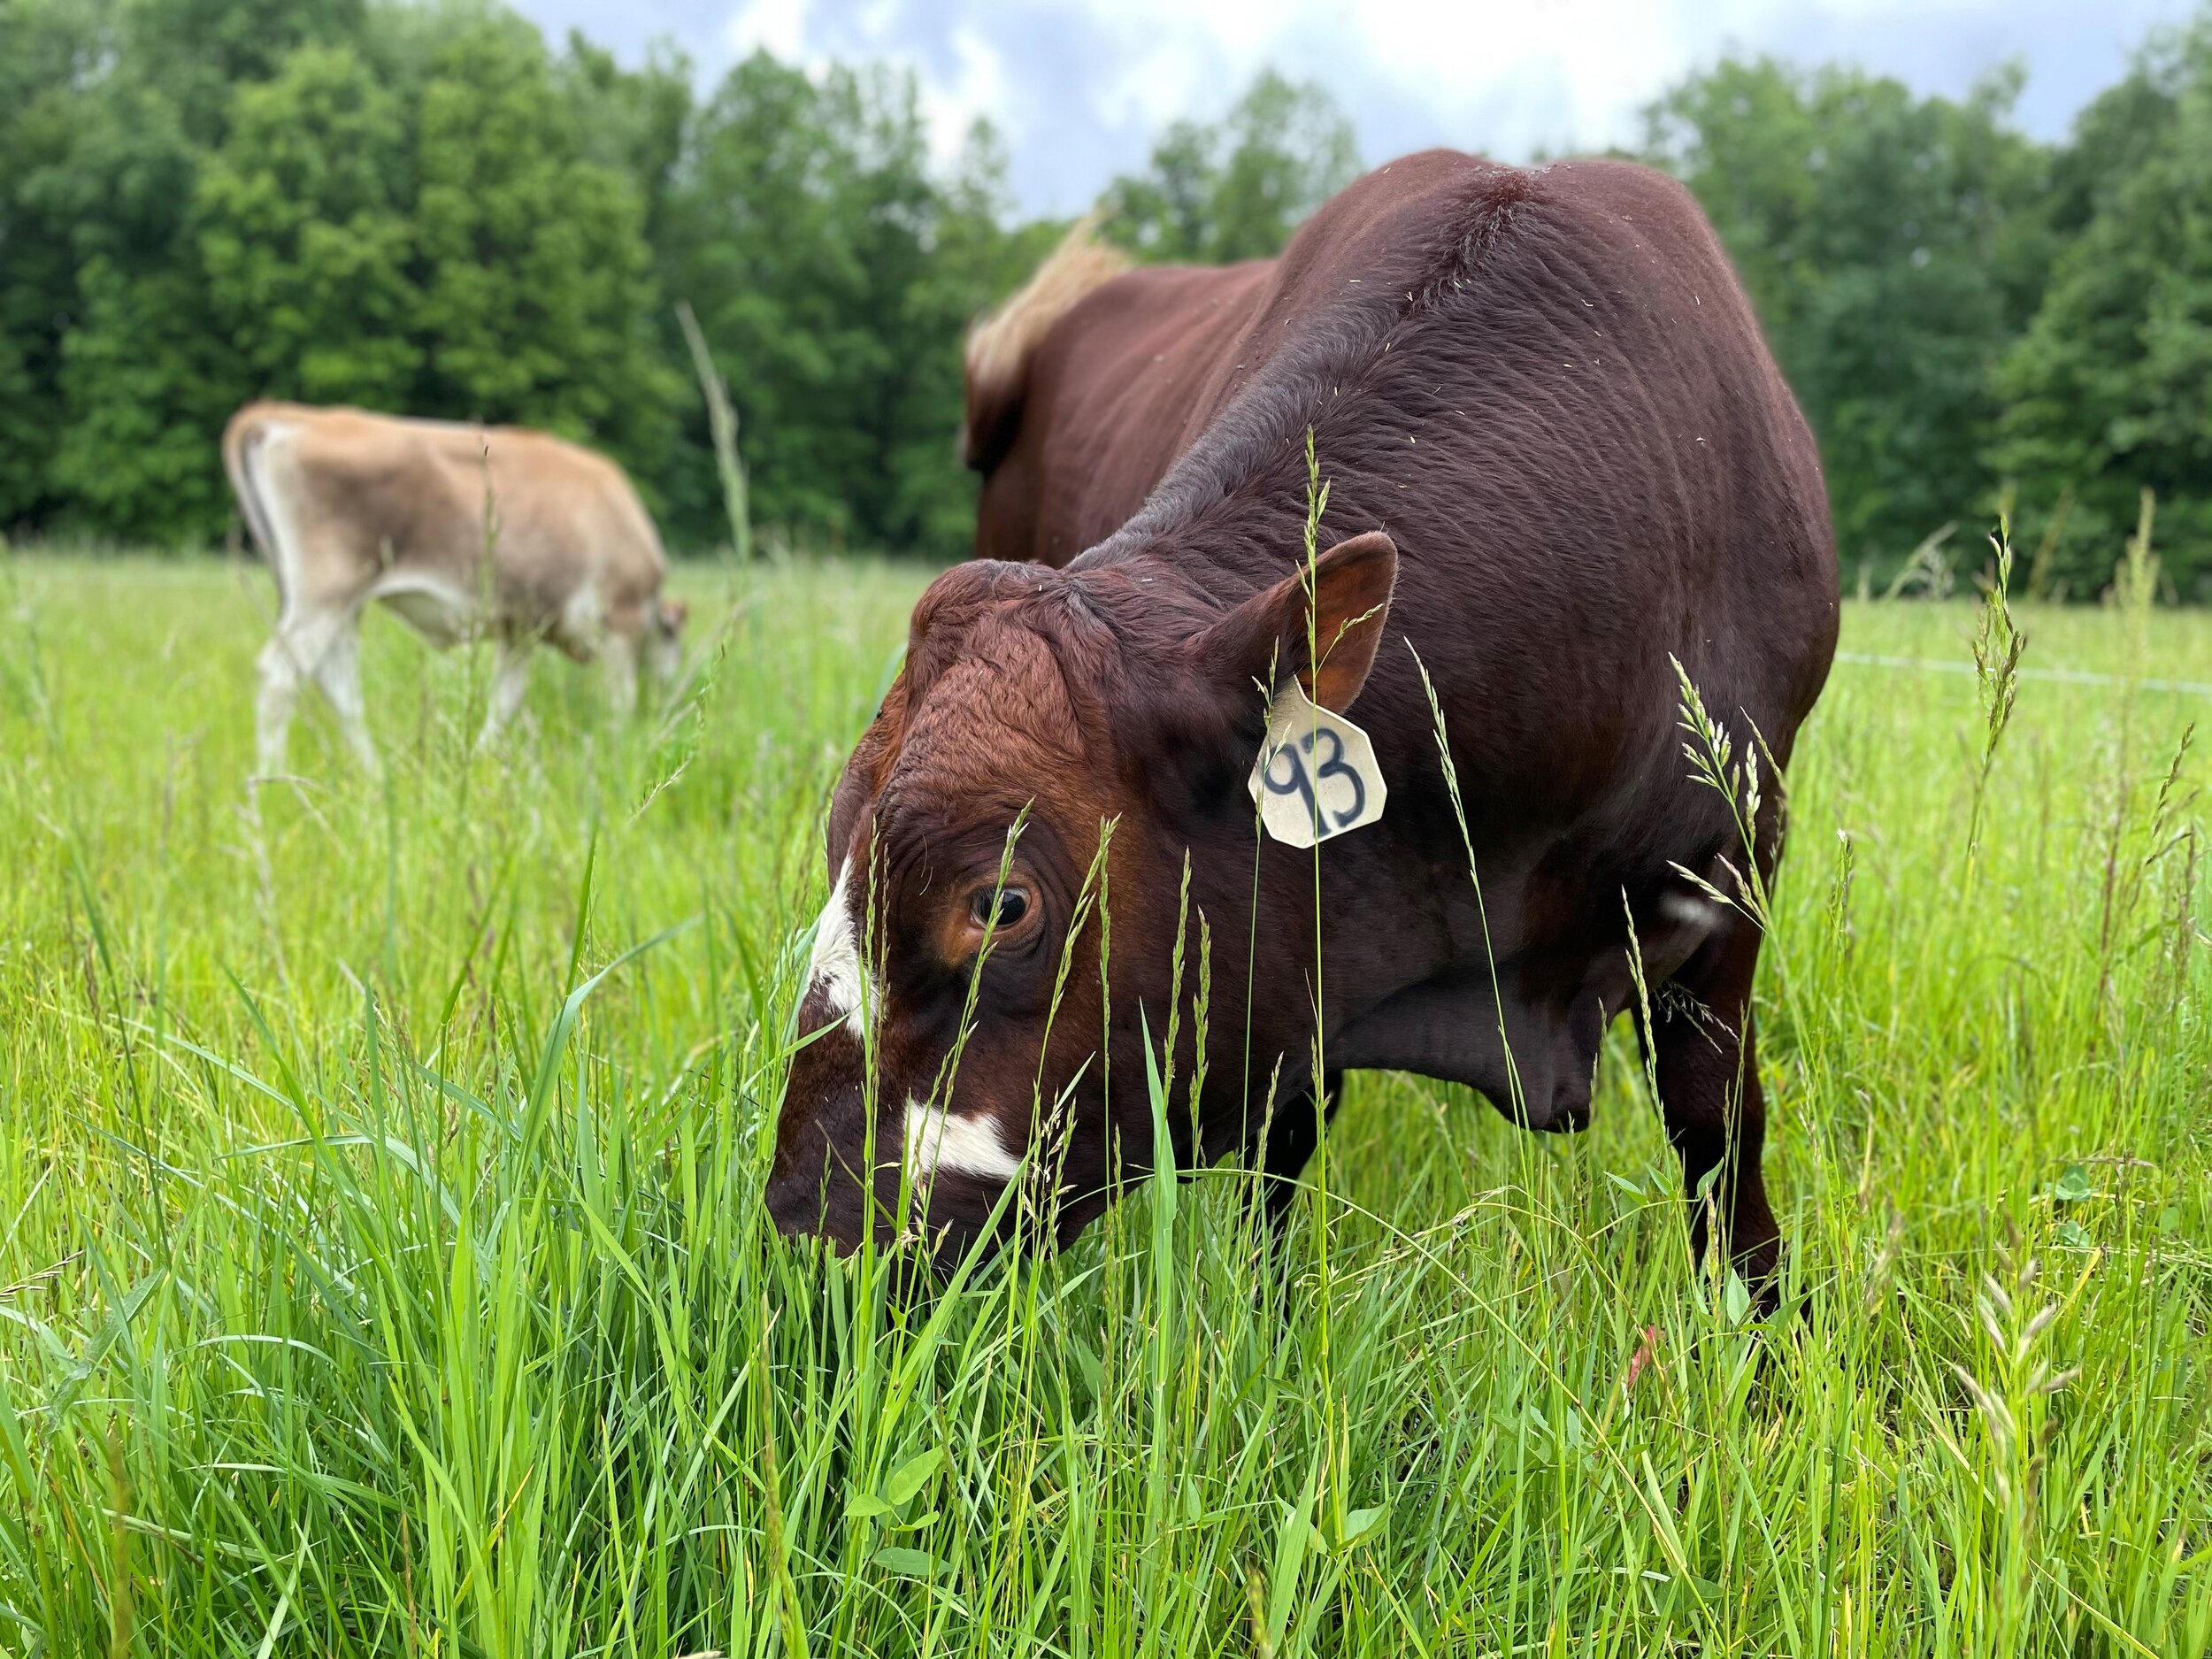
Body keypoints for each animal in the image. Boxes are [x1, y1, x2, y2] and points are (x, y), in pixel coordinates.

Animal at [222, 402, 685, 774]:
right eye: (674, 641)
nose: (668, 693)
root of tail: (298, 419)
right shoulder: (620, 620)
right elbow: (619, 701)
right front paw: (621, 749)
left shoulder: (519, 627)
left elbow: (505, 700)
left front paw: (479, 760)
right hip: (324, 596)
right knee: (280, 677)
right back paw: (274, 781)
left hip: (340, 605)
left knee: (339, 686)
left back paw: (374, 777)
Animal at [766, 151, 1839, 1303]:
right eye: (833, 847)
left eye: (1000, 902)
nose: (804, 1238)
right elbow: (1279, 1154)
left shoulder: (1737, 858)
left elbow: (1719, 1120)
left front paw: (1762, 1325)